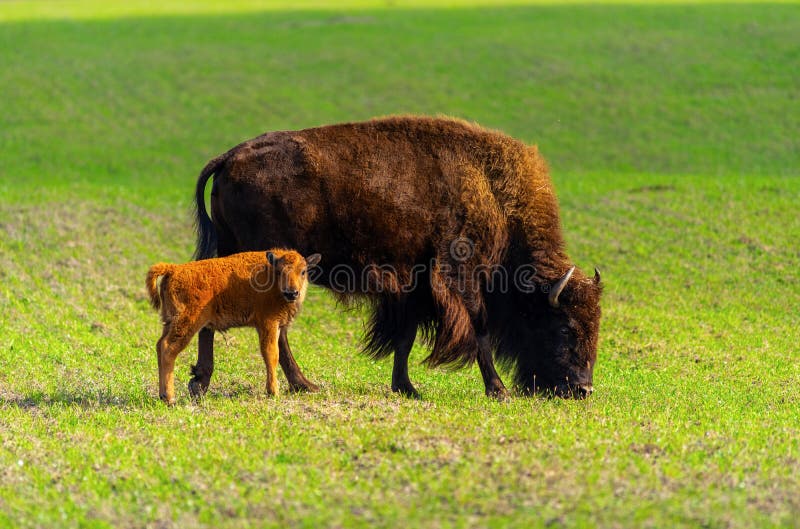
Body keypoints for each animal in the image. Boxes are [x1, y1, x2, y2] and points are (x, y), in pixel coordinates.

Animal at [190, 116, 602, 399]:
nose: (582, 390)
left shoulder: (414, 286)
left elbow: (405, 336)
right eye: (564, 327)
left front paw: (406, 386)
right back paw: (301, 383)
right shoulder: (460, 279)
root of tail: (229, 158)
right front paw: (498, 390)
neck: (493, 193)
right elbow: (479, 330)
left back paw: (204, 381)